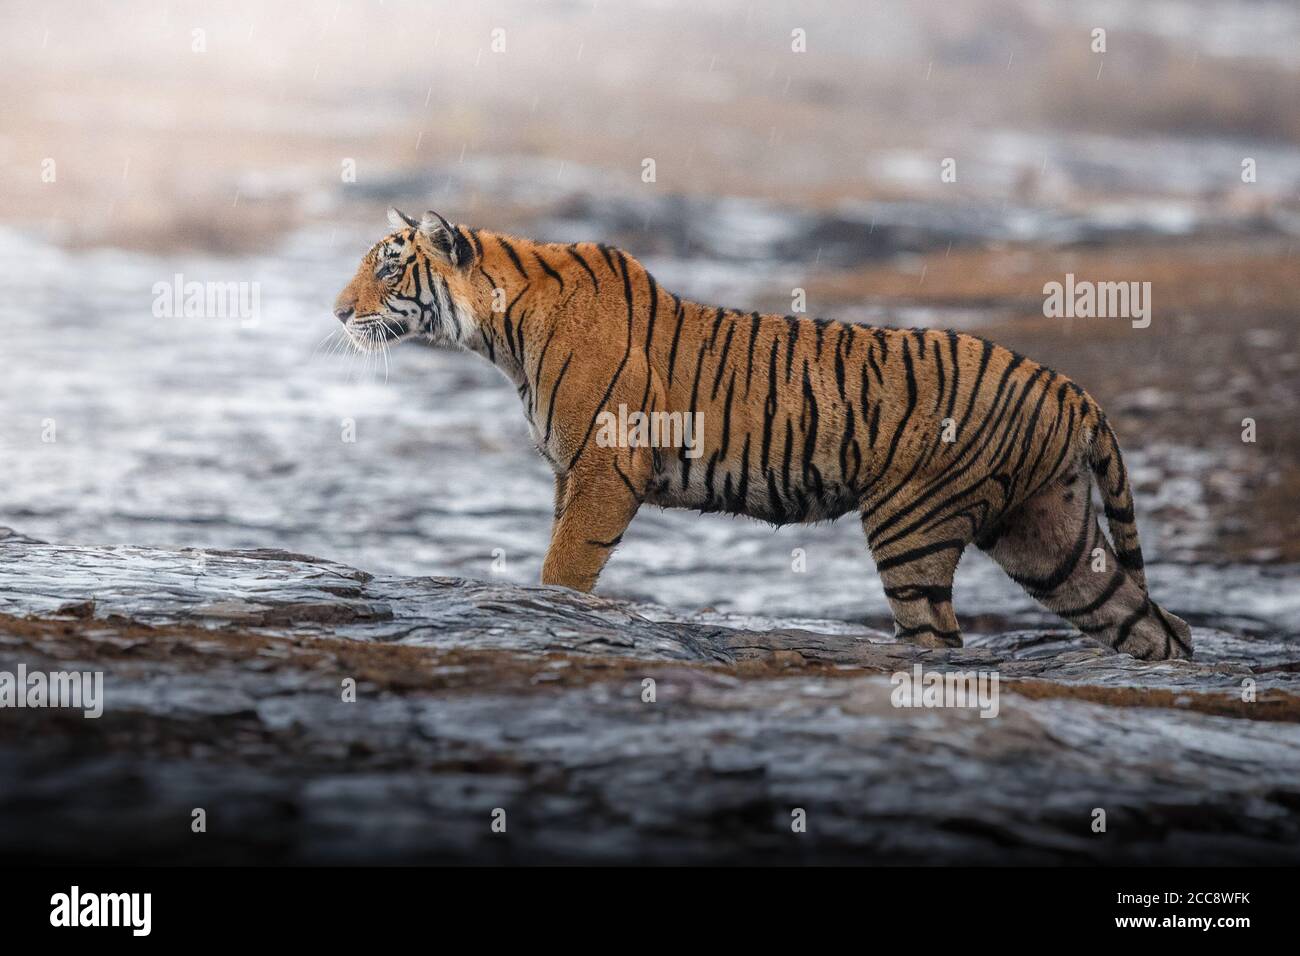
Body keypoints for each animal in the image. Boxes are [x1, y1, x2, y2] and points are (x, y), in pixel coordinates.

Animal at [332, 207, 1193, 661]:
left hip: (914, 524)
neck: (499, 331)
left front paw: (551, 621)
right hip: (1047, 536)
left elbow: (564, 570)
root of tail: (1064, 384)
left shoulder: (603, 472)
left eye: (387, 269)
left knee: (938, 636)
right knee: (1152, 621)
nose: (338, 313)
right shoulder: (569, 474)